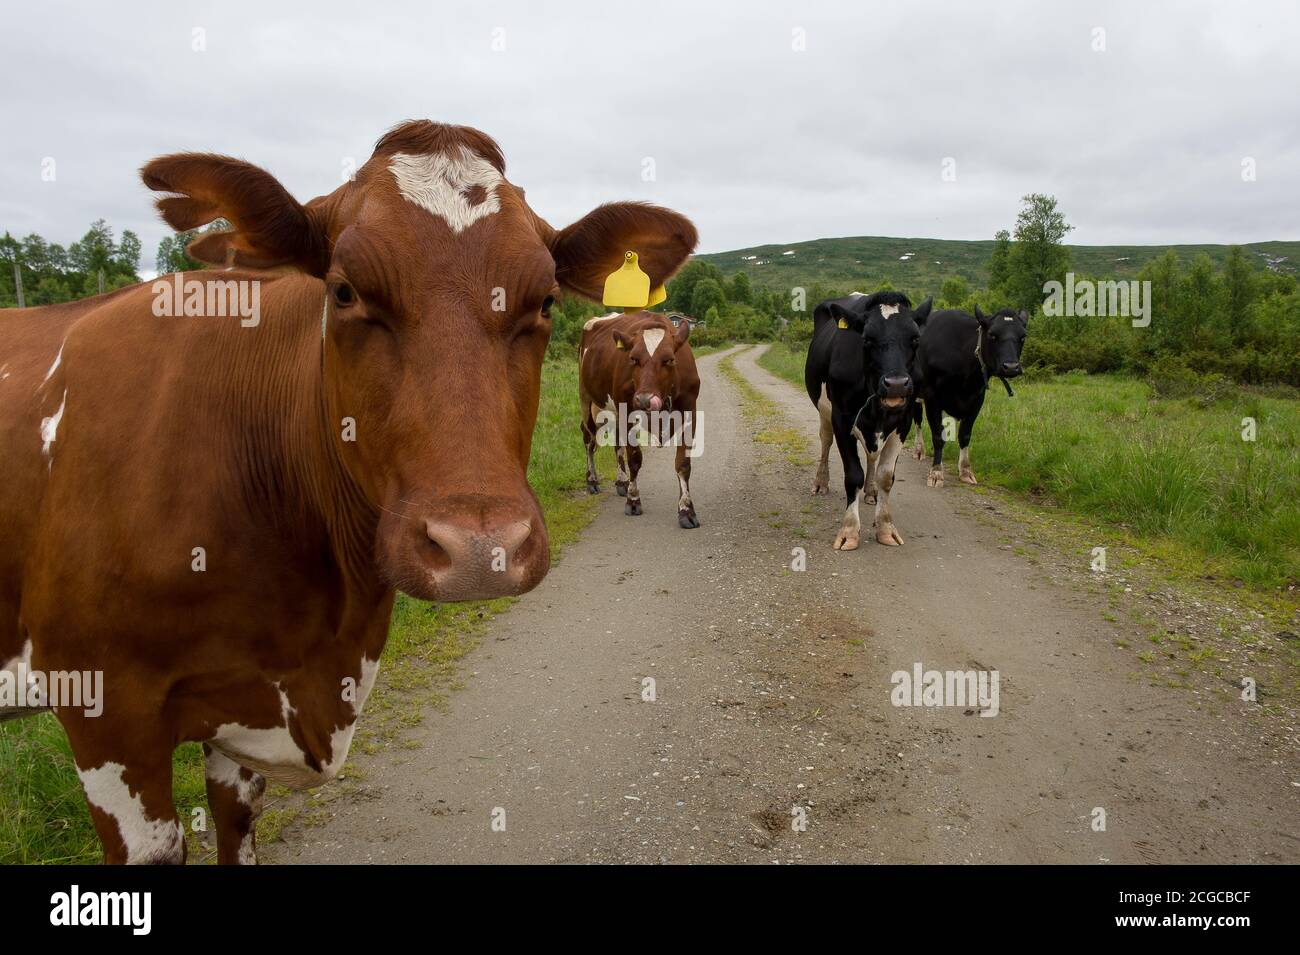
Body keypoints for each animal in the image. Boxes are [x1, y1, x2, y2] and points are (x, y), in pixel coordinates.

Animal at [578, 311, 701, 528]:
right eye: (633, 359)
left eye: (669, 360)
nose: (644, 399)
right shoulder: (627, 411)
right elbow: (635, 458)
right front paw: (633, 500)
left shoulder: (690, 411)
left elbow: (683, 464)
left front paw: (686, 510)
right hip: (587, 398)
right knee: (589, 439)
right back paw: (592, 480)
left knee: (616, 443)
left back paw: (621, 481)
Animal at [806, 291, 933, 549]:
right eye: (867, 339)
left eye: (915, 338)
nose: (896, 384)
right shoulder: (842, 419)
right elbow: (853, 474)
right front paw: (849, 530)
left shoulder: (903, 421)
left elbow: (886, 476)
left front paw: (885, 527)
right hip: (824, 411)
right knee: (825, 441)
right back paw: (821, 482)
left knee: (872, 457)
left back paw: (871, 491)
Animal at [910, 305, 1027, 486]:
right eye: (992, 335)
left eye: (1022, 337)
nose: (1011, 367)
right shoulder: (932, 398)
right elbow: (938, 436)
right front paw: (936, 472)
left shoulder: (977, 400)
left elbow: (965, 435)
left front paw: (965, 470)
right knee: (917, 420)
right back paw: (918, 450)